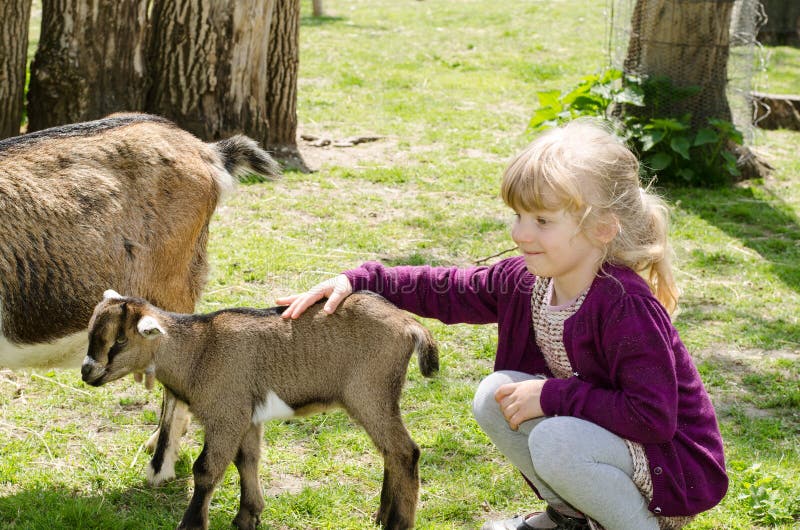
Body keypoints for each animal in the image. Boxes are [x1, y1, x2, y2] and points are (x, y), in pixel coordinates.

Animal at [81, 289, 438, 530]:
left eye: (120, 341)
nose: (87, 372)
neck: (199, 350)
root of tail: (410, 324)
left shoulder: (226, 413)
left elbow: (206, 469)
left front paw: (193, 524)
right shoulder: (246, 416)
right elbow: (246, 460)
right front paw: (248, 515)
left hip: (370, 393)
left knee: (406, 451)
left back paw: (398, 523)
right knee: (391, 452)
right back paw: (381, 515)